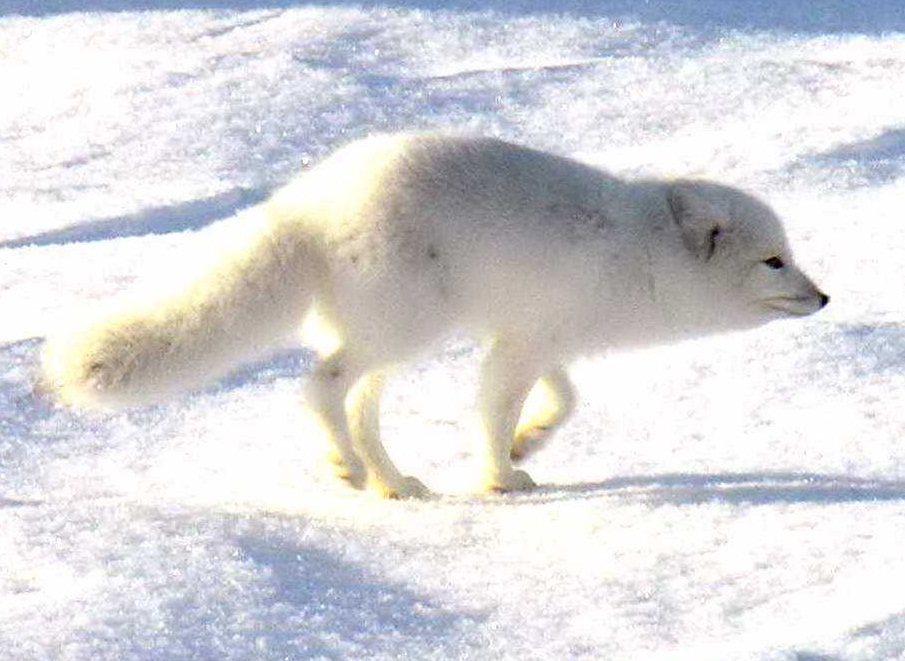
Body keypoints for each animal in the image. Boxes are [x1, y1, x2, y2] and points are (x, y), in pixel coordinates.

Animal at [41, 133, 828, 498]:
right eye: (773, 261)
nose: (823, 297)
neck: (640, 253)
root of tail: (305, 202)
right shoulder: (520, 344)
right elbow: (494, 410)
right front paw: (501, 475)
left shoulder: (531, 335)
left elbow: (563, 398)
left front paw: (528, 444)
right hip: (402, 329)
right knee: (322, 385)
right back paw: (349, 469)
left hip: (393, 340)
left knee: (359, 404)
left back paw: (389, 481)